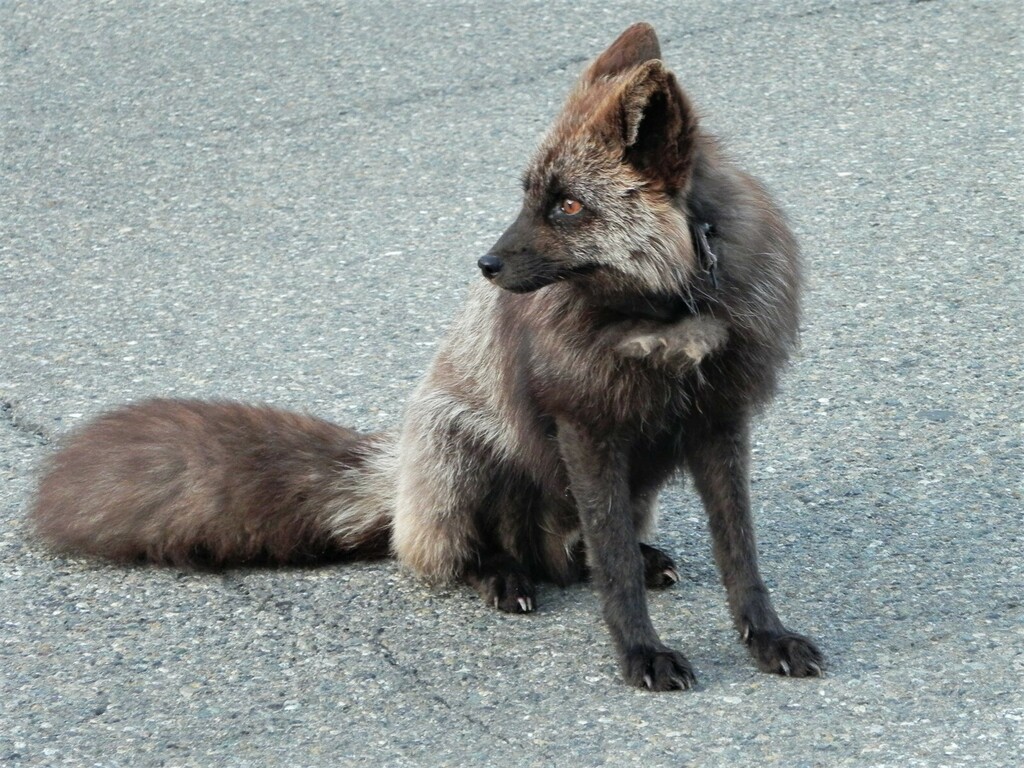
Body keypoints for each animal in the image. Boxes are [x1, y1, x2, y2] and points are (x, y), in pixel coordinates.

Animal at [31, 23, 823, 690]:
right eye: (528, 196)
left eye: (567, 206)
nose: (485, 265)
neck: (666, 312)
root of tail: (394, 476)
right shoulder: (585, 425)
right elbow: (618, 575)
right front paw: (640, 653)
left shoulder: (719, 421)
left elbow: (739, 557)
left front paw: (768, 638)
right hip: (466, 457)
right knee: (484, 557)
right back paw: (505, 577)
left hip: (633, 485)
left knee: (583, 556)